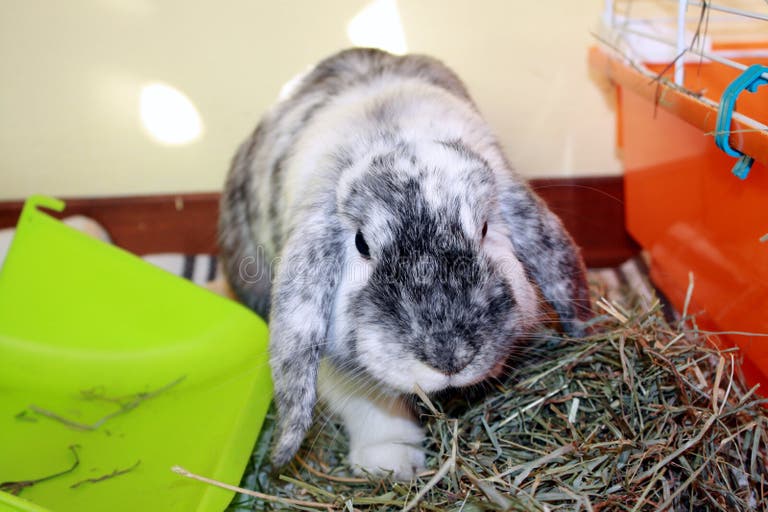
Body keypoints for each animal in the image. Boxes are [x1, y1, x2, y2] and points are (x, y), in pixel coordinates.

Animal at [218, 48, 591, 480]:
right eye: (362, 243)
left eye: (484, 228)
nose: (449, 357)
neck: (392, 134)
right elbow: (370, 409)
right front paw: (391, 463)